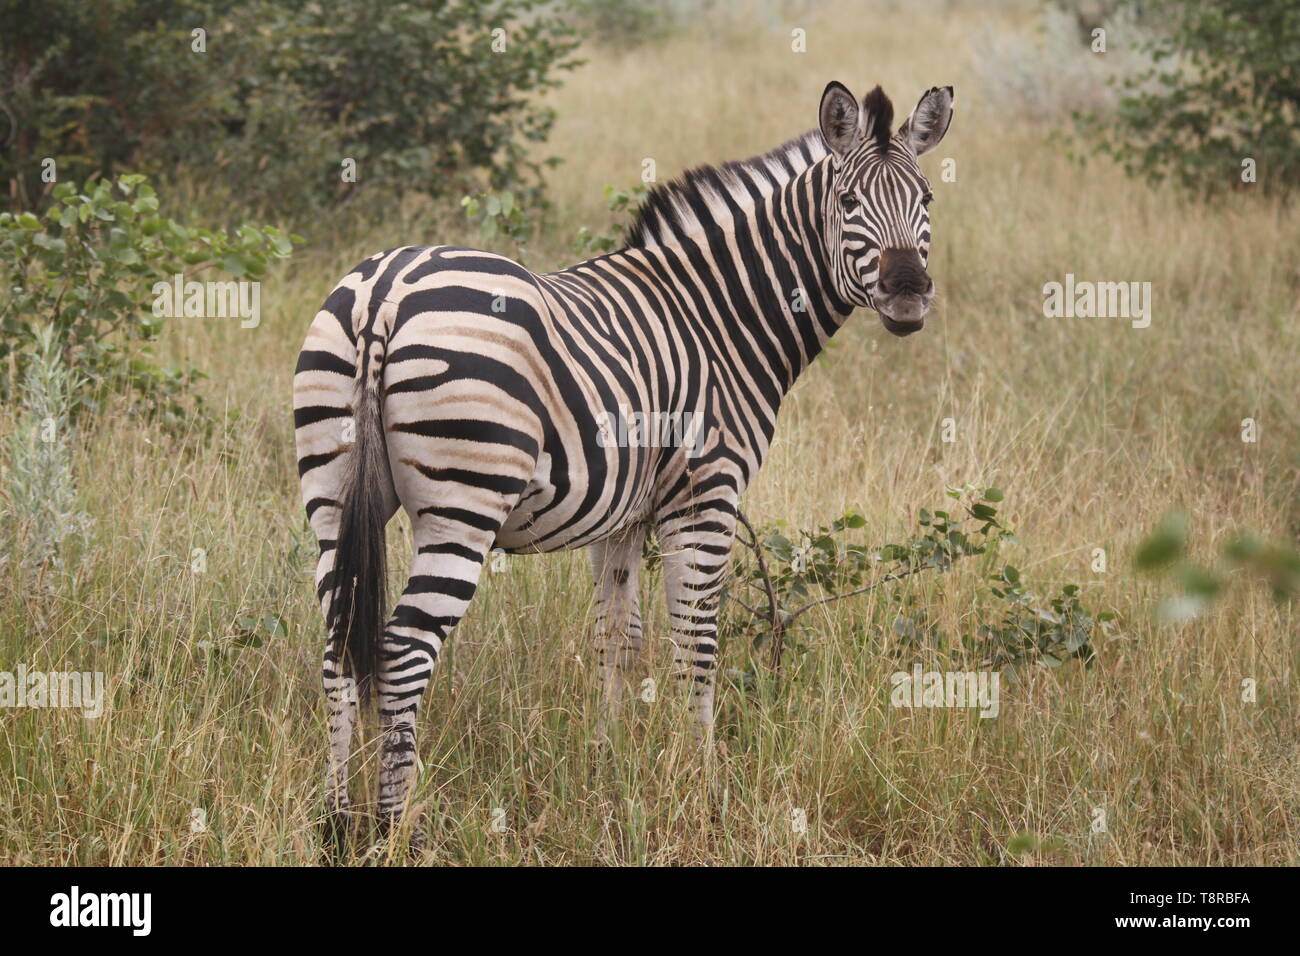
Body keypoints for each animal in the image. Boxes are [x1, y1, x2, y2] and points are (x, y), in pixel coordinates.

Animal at [294, 81, 954, 835]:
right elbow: (697, 642)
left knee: (338, 642)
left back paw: (335, 817)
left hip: (330, 493)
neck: (719, 316)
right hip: (463, 503)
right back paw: (392, 824)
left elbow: (619, 636)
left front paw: (605, 764)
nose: (908, 294)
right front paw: (704, 787)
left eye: (927, 199)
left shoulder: (620, 516)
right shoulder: (705, 495)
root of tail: (386, 292)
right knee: (404, 647)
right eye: (847, 203)